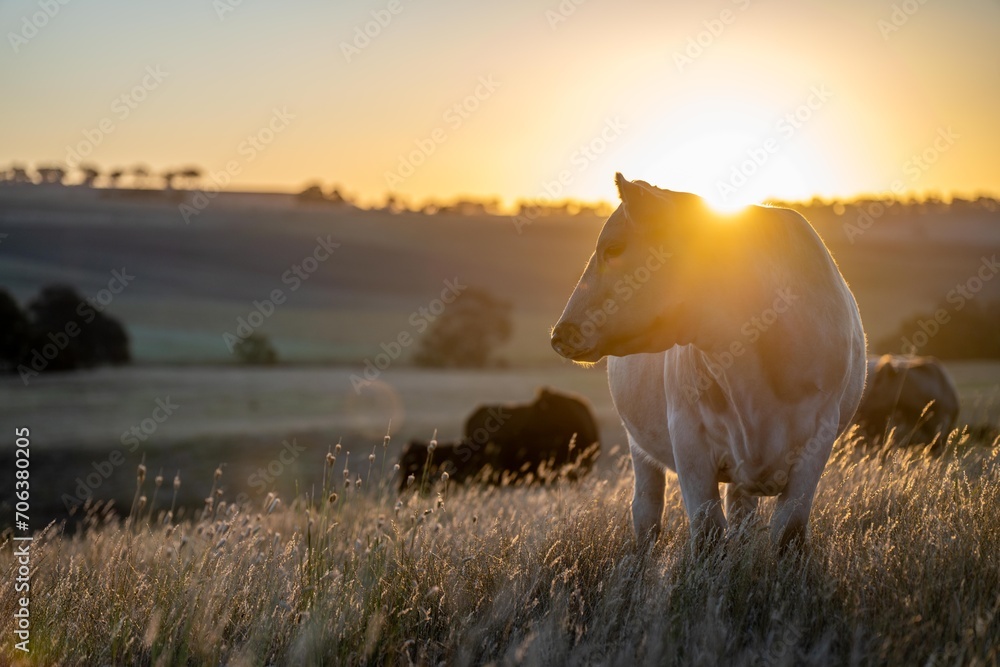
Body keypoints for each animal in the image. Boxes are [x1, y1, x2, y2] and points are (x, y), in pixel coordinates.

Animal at [551, 174, 867, 547]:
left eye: (613, 248)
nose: (560, 334)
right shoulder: (688, 439)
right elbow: (707, 532)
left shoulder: (818, 437)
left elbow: (788, 532)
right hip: (639, 446)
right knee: (646, 510)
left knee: (742, 513)